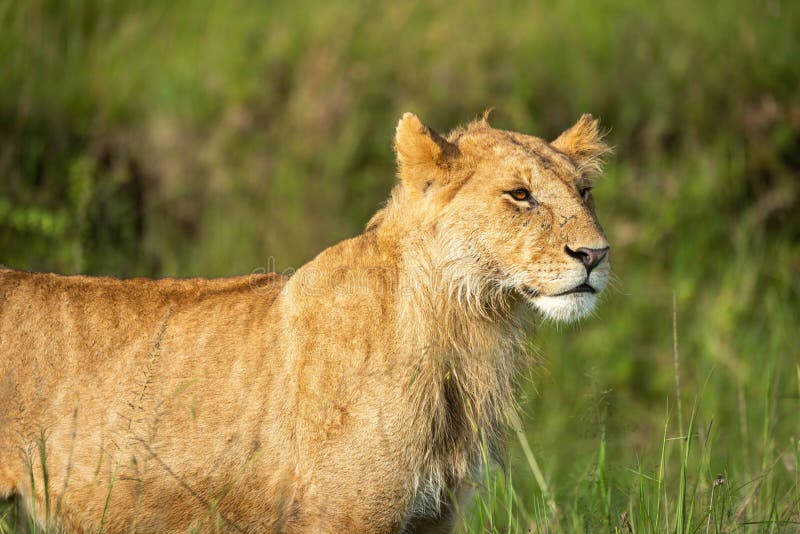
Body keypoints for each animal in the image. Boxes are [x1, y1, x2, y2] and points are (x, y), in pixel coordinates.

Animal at [0, 112, 611, 533]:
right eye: (520, 195)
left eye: (584, 192)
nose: (596, 254)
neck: (465, 324)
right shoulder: (344, 515)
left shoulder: (430, 517)